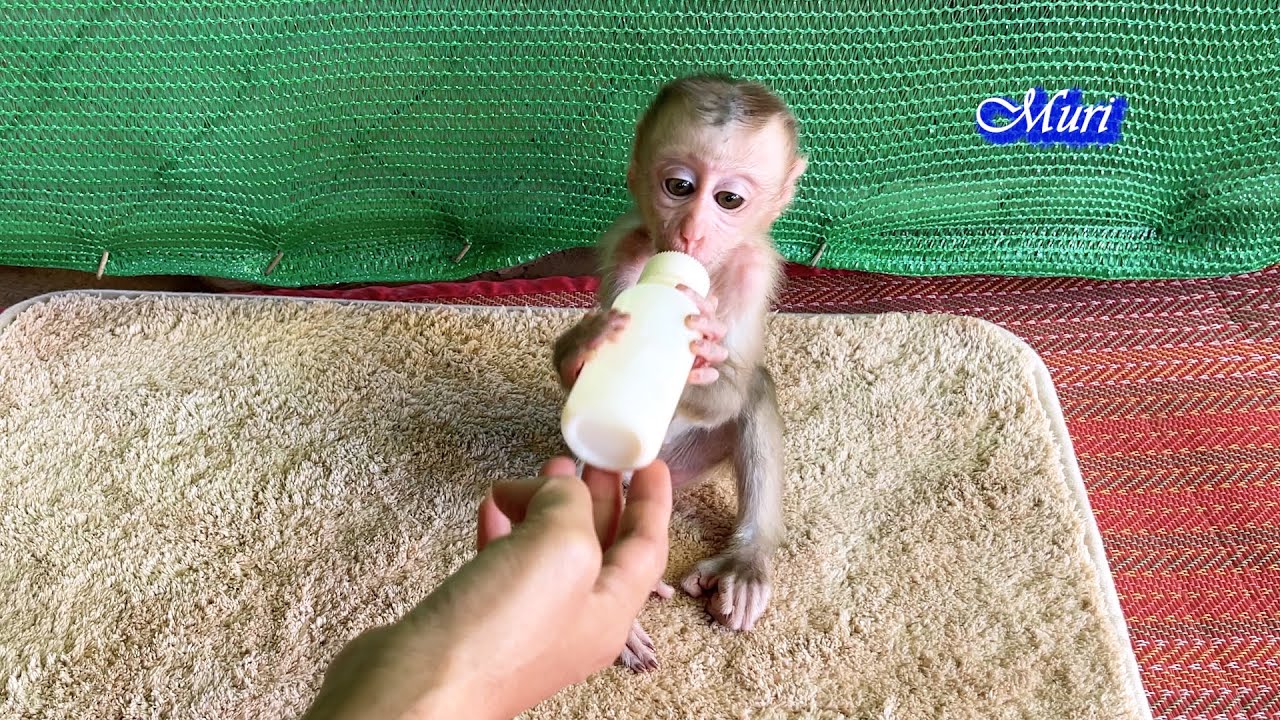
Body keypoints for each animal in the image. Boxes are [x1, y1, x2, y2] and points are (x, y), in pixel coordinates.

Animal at [552, 73, 807, 672]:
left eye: (729, 199)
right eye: (680, 187)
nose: (690, 234)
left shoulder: (755, 267)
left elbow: (735, 386)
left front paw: (701, 353)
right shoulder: (626, 243)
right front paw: (585, 345)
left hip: (687, 465)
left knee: (756, 391)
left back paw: (746, 558)